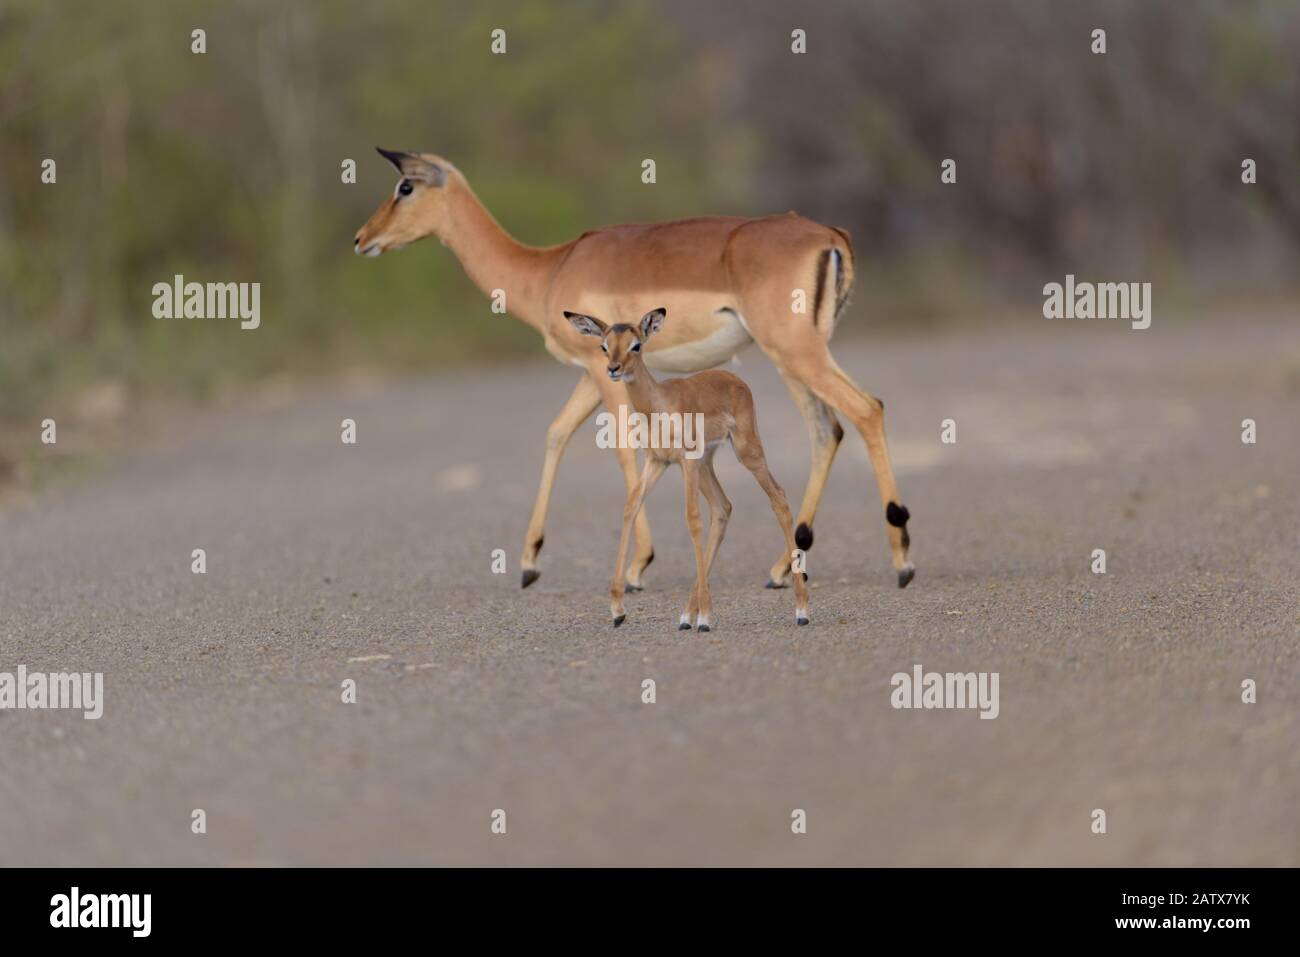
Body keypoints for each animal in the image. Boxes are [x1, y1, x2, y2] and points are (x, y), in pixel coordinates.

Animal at [354, 150, 914, 593]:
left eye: (405, 186)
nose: (362, 238)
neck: (549, 269)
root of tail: (830, 234)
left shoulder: (604, 372)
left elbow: (623, 449)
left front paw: (637, 567)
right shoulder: (593, 370)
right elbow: (556, 434)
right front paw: (531, 562)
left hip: (795, 353)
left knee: (866, 410)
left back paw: (902, 559)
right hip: (792, 357)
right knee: (827, 431)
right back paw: (782, 568)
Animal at [565, 307, 809, 630]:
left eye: (636, 345)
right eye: (604, 346)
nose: (614, 369)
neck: (659, 406)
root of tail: (733, 378)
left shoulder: (686, 460)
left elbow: (692, 519)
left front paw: (705, 617)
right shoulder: (657, 462)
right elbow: (631, 507)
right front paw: (618, 611)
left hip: (745, 453)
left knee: (778, 498)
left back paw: (801, 611)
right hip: (706, 464)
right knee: (722, 508)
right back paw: (685, 615)